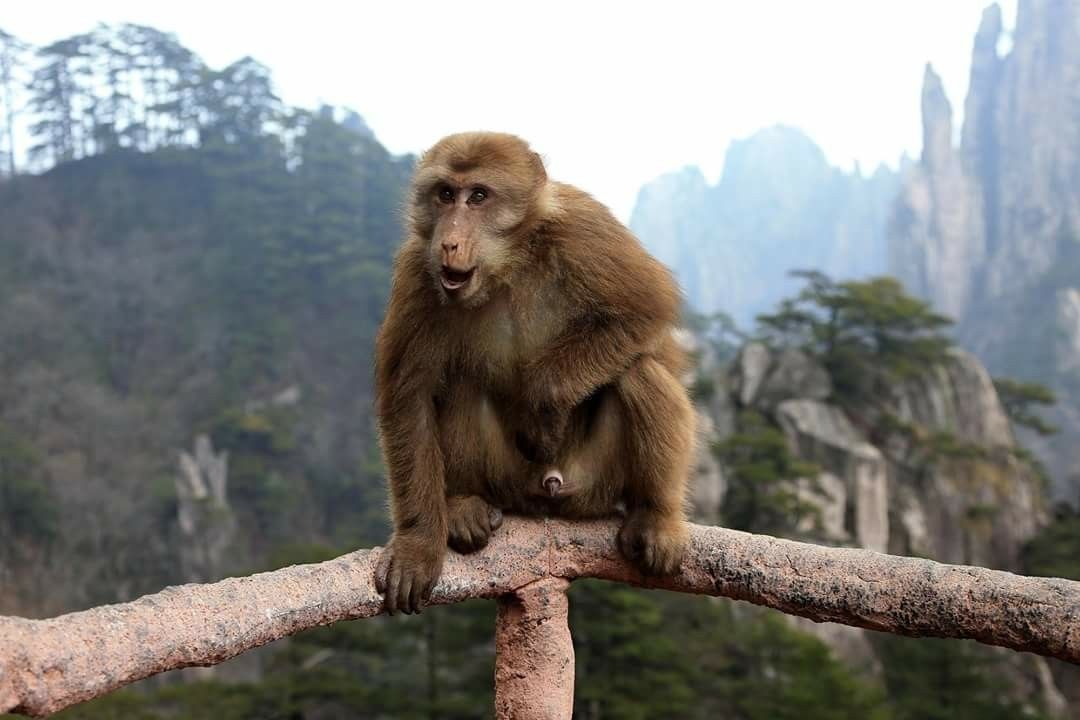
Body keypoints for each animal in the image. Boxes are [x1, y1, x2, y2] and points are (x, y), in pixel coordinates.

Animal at [375, 131, 695, 613]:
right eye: (445, 194)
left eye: (479, 196)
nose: (449, 241)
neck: (509, 263)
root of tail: (549, 486)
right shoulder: (418, 266)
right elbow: (409, 396)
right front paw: (416, 544)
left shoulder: (584, 226)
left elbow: (646, 308)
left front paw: (544, 399)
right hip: (508, 478)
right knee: (462, 381)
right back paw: (462, 504)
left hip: (595, 480)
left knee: (636, 369)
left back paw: (657, 516)